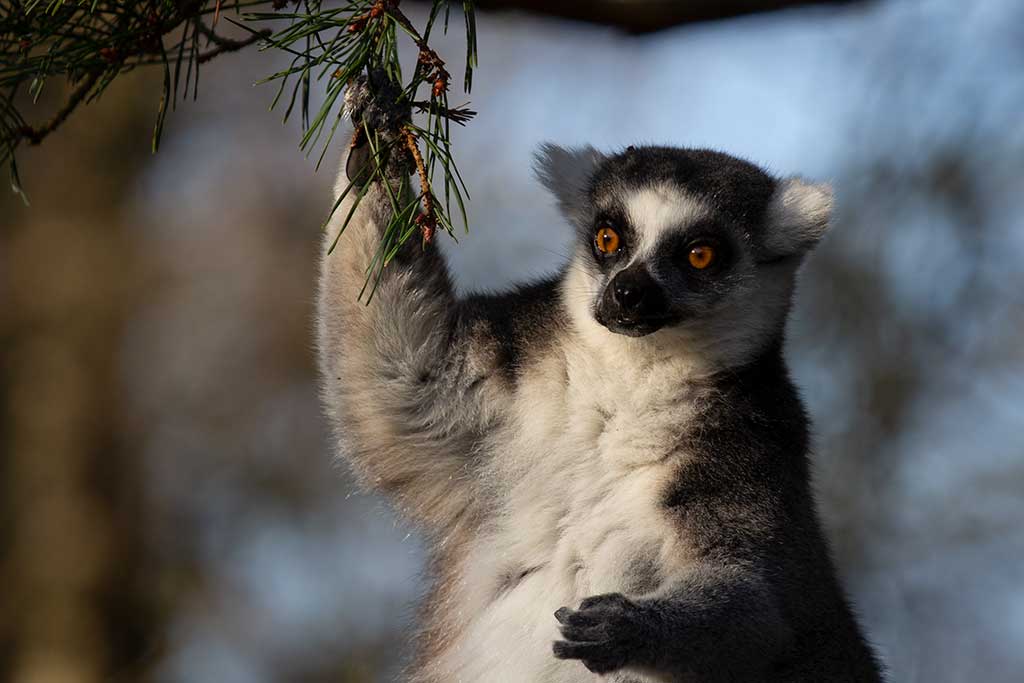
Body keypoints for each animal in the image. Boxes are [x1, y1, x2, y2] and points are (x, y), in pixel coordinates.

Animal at [317, 80, 884, 682]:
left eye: (700, 254)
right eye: (608, 239)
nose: (627, 293)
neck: (627, 381)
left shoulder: (751, 447)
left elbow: (761, 614)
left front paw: (633, 629)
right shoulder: (508, 389)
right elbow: (398, 387)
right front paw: (378, 142)